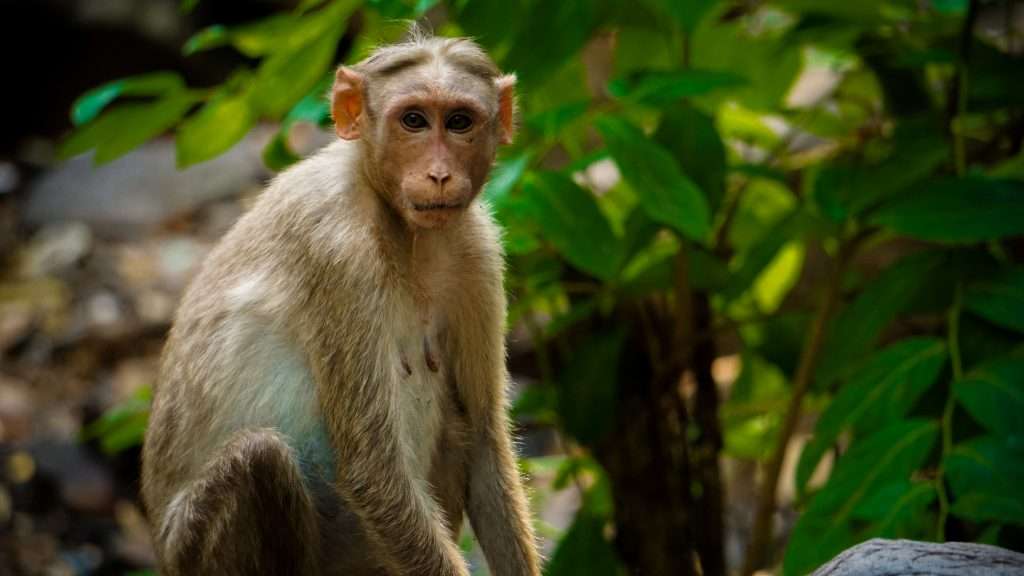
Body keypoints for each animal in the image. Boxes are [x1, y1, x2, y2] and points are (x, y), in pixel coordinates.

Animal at [141, 32, 541, 576]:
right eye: (414, 120)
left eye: (459, 121)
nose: (439, 174)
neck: (401, 228)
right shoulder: (336, 250)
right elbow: (374, 470)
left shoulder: (477, 249)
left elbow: (483, 438)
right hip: (193, 552)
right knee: (260, 458)